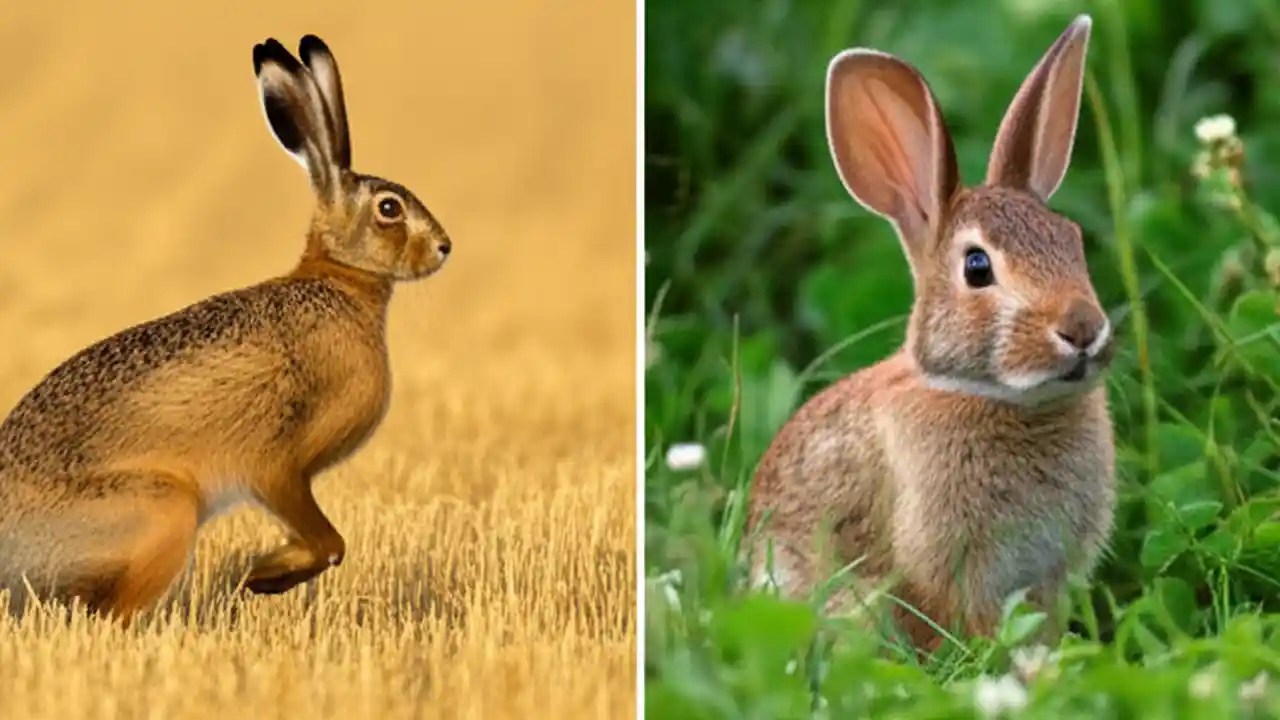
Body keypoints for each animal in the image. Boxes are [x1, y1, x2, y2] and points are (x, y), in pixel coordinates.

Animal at [0, 35, 451, 622]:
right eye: (390, 209)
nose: (444, 247)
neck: (339, 281)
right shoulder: (277, 466)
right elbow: (330, 543)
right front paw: (263, 575)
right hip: (164, 512)